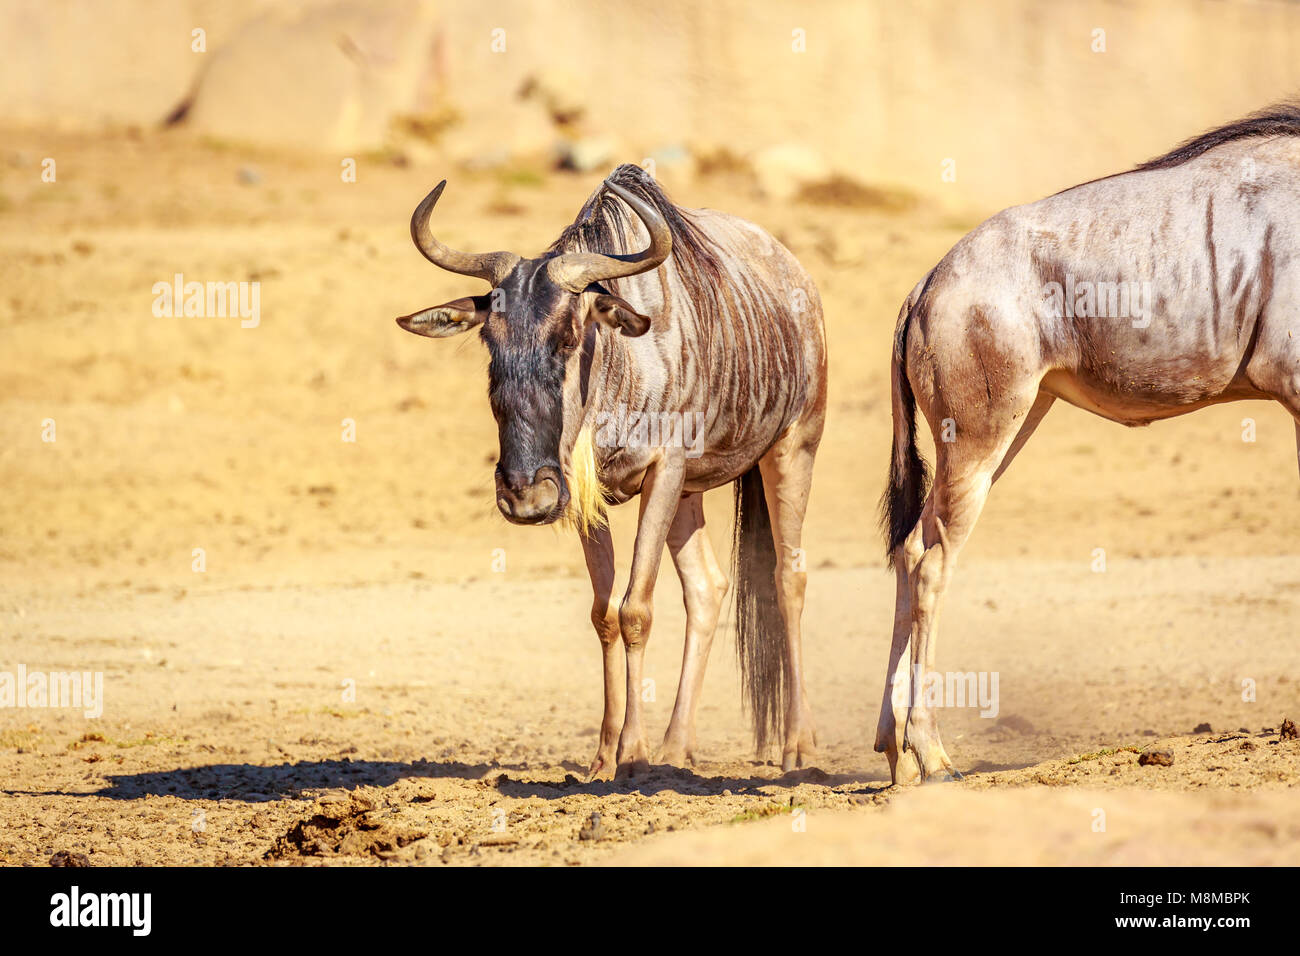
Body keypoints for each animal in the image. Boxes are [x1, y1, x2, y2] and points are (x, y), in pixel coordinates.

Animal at [396, 165, 827, 777]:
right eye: (489, 340)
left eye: (568, 336)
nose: (524, 496)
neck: (618, 369)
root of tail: (797, 279)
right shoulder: (587, 491)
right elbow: (604, 613)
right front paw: (605, 755)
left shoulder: (663, 472)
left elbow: (636, 609)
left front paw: (635, 753)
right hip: (691, 496)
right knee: (707, 586)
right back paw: (677, 747)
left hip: (792, 448)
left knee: (788, 579)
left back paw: (798, 746)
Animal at [878, 103, 1300, 784]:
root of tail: (928, 285)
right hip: (979, 440)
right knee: (932, 564)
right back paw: (933, 755)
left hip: (1006, 430)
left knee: (909, 547)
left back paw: (898, 756)